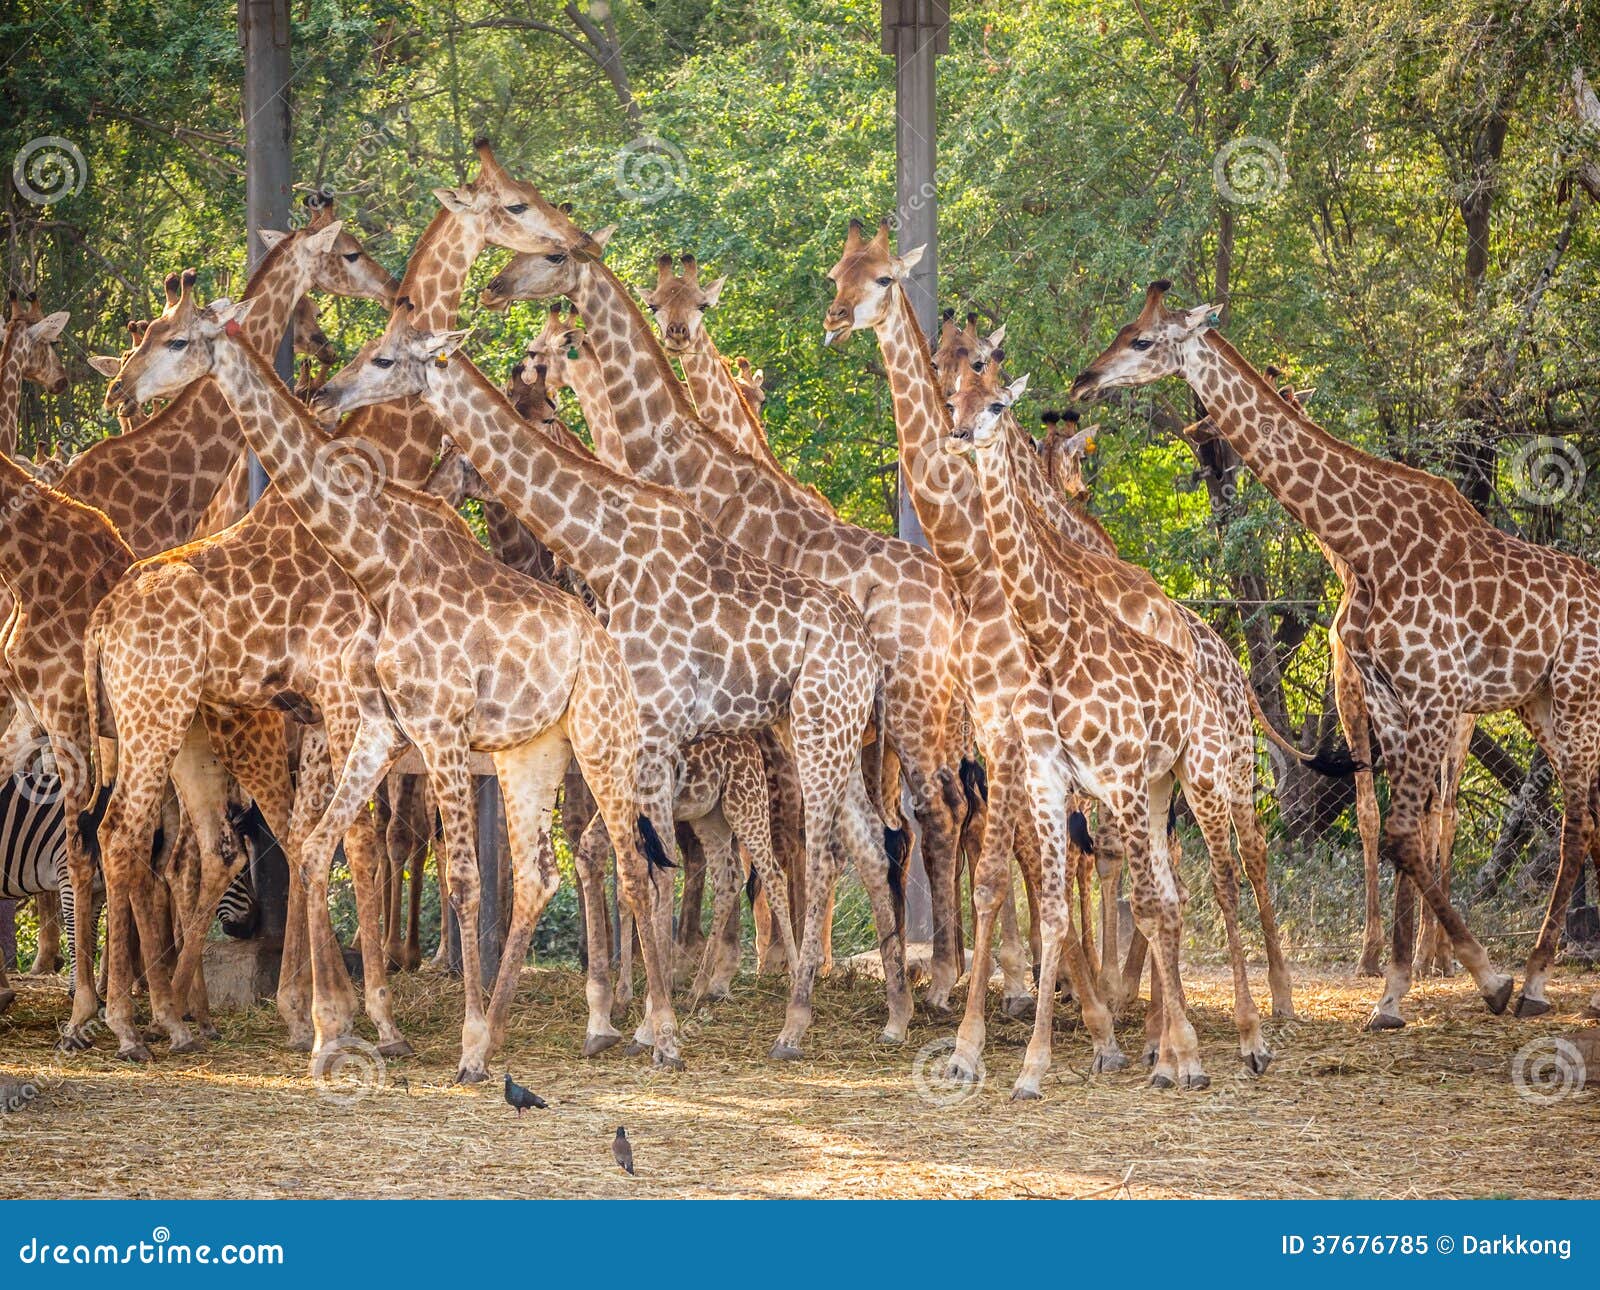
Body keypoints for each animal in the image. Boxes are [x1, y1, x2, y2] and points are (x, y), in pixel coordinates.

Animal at [105, 283, 684, 1081]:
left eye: (177, 341)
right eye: (150, 332)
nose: (119, 388)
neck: (381, 568)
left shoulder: (429, 728)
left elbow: (449, 873)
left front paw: (427, 1036)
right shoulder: (381, 727)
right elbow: (324, 846)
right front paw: (333, 1032)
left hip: (602, 739)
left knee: (630, 861)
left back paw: (654, 1033)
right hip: (530, 750)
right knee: (543, 872)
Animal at [311, 305, 899, 1058]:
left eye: (385, 358)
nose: (328, 394)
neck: (604, 551)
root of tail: (868, 654)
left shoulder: (650, 725)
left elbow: (638, 861)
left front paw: (644, 1020)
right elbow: (619, 856)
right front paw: (626, 1014)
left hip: (818, 730)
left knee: (820, 852)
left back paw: (795, 1021)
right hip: (827, 728)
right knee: (867, 839)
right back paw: (895, 1015)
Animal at [481, 222, 979, 1016]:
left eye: (546, 253)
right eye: (657, 301)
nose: (496, 292)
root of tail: (948, 596)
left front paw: (715, 973)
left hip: (907, 702)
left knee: (939, 812)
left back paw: (941, 980)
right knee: (928, 817)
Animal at [1069, 281, 1600, 1025]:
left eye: (1143, 340)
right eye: (1121, 331)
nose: (1084, 380)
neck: (1364, 544)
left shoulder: (1434, 694)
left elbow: (1406, 832)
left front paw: (1483, 979)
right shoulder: (1392, 698)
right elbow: (1399, 834)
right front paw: (1396, 990)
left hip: (1574, 698)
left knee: (1575, 824)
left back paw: (1534, 982)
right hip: (1543, 704)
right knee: (1585, 818)